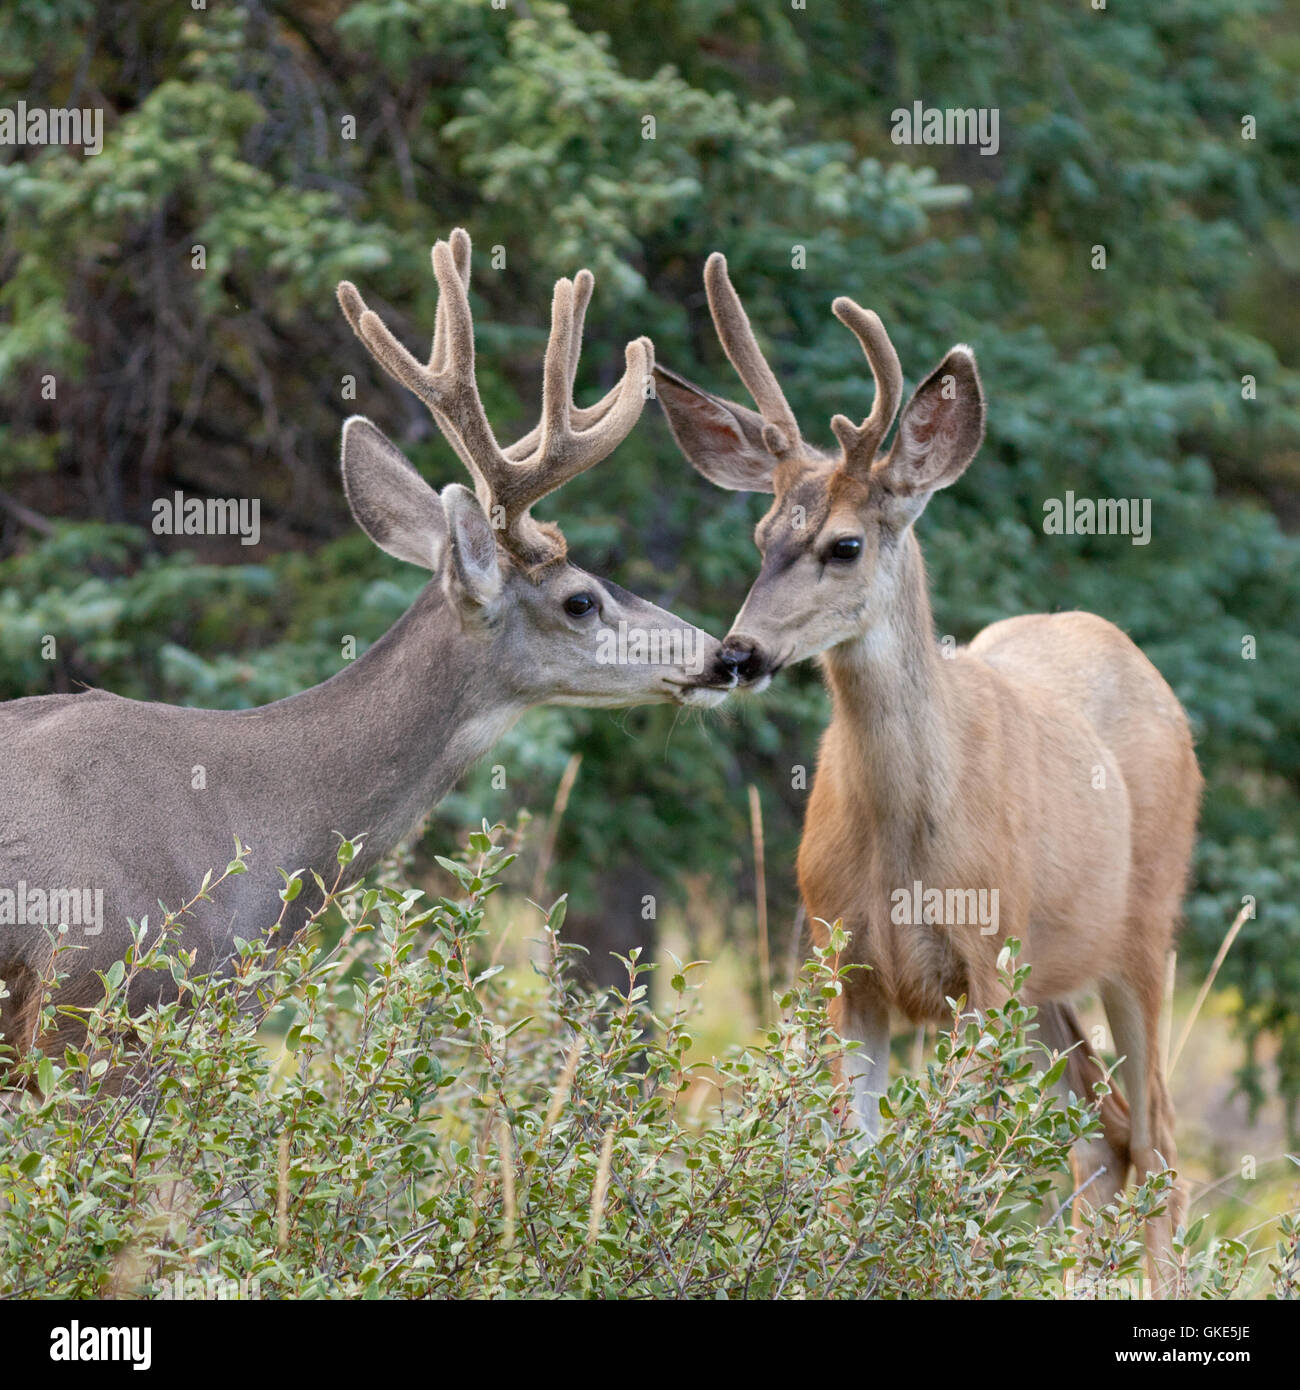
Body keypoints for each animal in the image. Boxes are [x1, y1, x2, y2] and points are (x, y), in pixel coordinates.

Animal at [653, 250, 1202, 1292]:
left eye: (845, 544)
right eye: (760, 540)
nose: (738, 652)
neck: (904, 845)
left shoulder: (981, 965)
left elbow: (967, 1191)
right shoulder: (843, 961)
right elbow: (850, 1175)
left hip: (1143, 936)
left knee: (1159, 1147)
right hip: (1049, 982)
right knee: (1104, 1137)